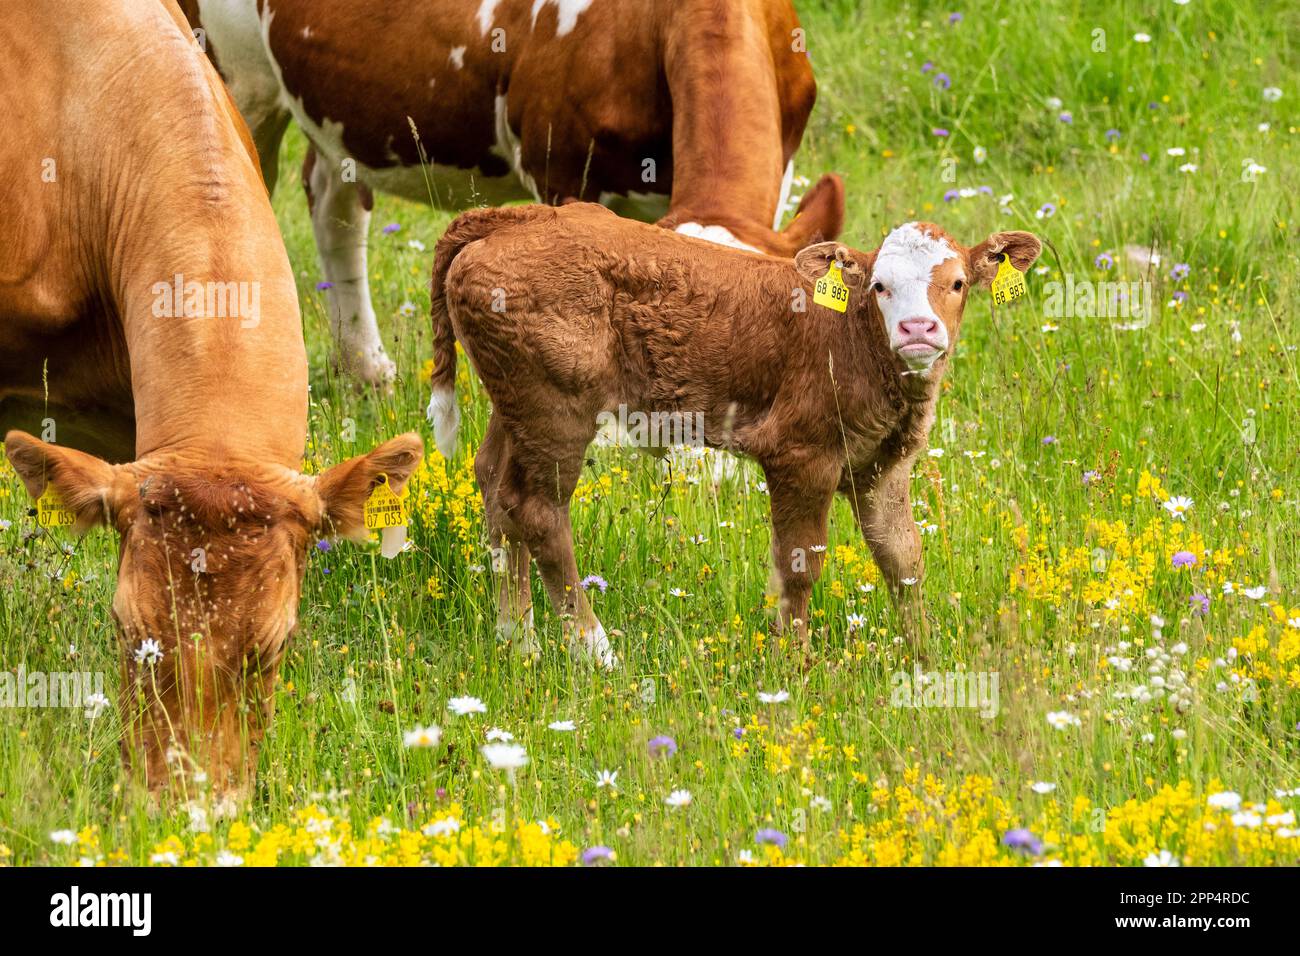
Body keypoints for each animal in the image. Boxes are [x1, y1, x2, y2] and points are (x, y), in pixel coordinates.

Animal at [427, 204, 1041, 665]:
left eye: (957, 283)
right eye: (879, 286)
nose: (918, 329)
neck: (850, 337)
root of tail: (518, 217)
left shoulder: (882, 467)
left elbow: (902, 558)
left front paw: (924, 657)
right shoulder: (800, 455)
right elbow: (800, 562)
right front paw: (793, 661)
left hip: (516, 406)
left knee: (494, 485)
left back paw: (518, 639)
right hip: (556, 407)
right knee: (538, 512)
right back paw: (594, 650)